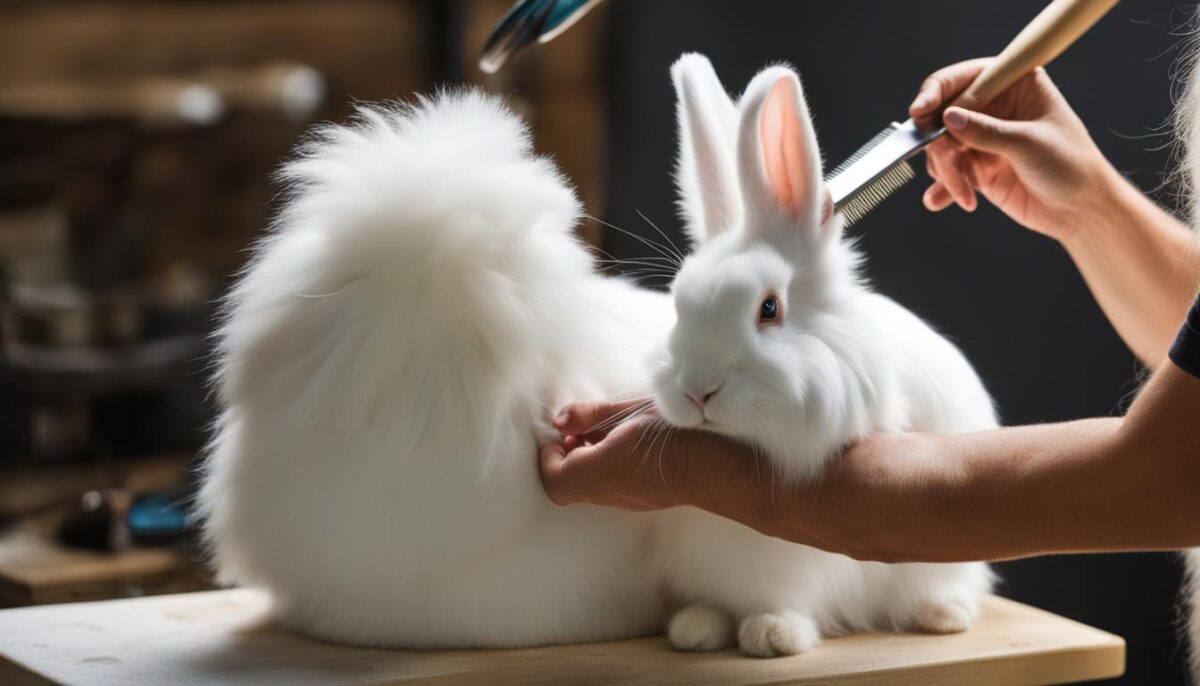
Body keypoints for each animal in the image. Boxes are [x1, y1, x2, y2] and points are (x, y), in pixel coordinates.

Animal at [649, 54, 996, 658]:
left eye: (768, 309)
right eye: (677, 305)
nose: (698, 391)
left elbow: (782, 601)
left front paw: (773, 634)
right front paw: (697, 627)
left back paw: (943, 615)